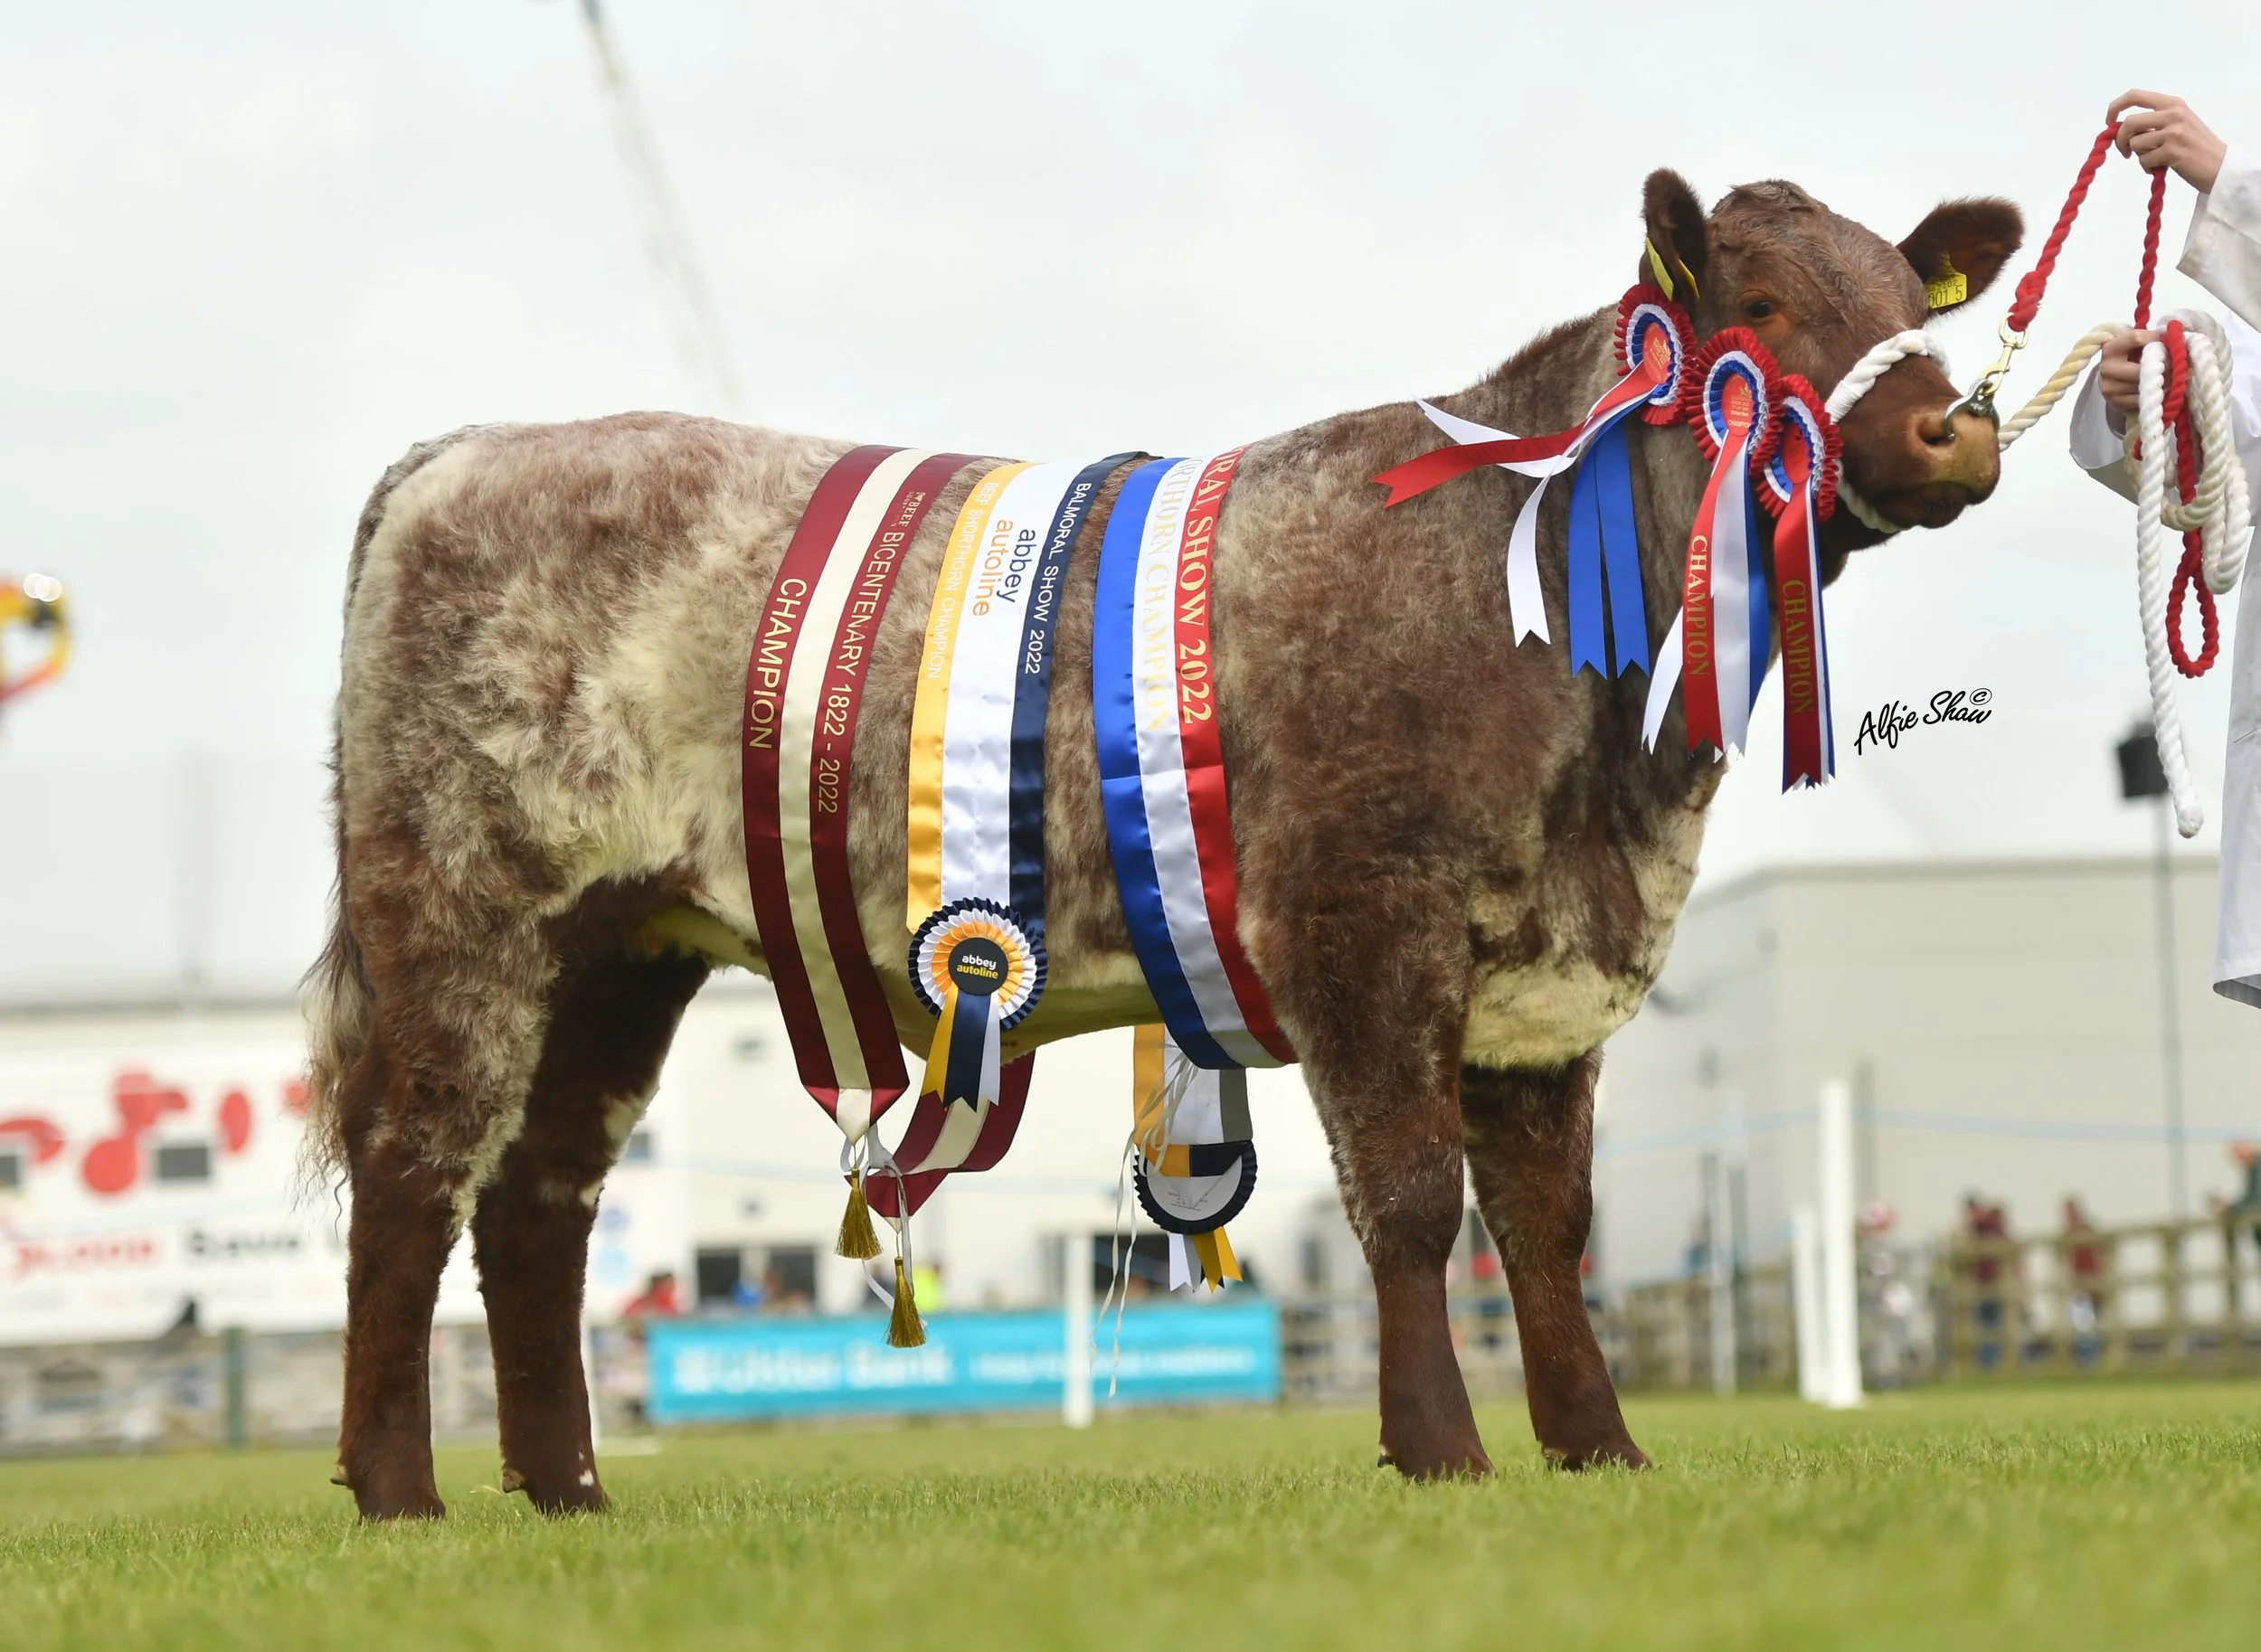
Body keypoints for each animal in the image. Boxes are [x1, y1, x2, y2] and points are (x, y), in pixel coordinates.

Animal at [307, 169, 2021, 1519]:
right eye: (1762, 299)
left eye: (1910, 300)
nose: (1955, 430)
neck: (1611, 761)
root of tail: (467, 451)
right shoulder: (1366, 920)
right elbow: (1414, 1201)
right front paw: (1443, 1450)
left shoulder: (1548, 972)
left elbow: (1547, 1226)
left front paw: (1600, 1450)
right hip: (460, 907)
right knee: (414, 1170)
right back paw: (399, 1493)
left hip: (619, 948)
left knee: (539, 1198)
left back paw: (568, 1491)